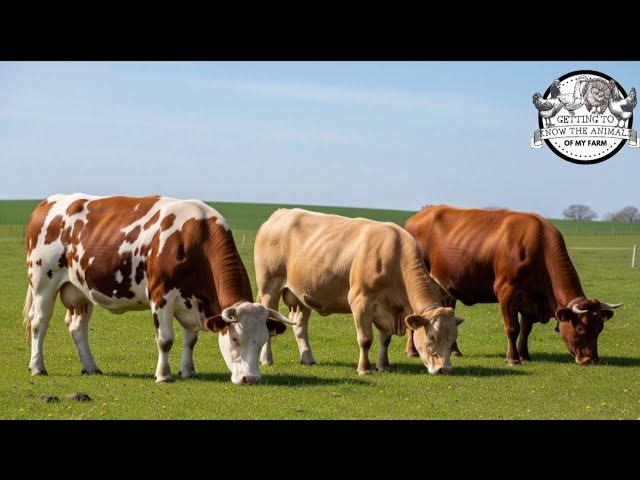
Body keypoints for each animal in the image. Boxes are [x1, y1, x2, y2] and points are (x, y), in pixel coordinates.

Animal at [23, 194, 294, 385]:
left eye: (264, 340)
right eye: (235, 338)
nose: (251, 379)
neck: (196, 240)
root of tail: (48, 202)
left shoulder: (192, 301)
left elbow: (190, 339)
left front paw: (188, 371)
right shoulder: (160, 295)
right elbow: (165, 340)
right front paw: (163, 375)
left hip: (80, 290)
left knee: (78, 327)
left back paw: (91, 367)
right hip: (43, 282)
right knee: (39, 322)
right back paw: (37, 367)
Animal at [254, 208, 464, 375]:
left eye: (453, 338)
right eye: (431, 337)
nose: (444, 369)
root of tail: (279, 213)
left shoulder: (387, 309)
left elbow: (385, 340)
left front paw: (383, 366)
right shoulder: (361, 301)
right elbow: (365, 339)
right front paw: (364, 369)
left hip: (302, 294)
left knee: (300, 326)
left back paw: (308, 358)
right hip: (269, 287)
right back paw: (267, 359)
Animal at [403, 205, 622, 365]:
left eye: (600, 328)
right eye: (581, 329)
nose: (590, 359)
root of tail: (422, 212)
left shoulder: (531, 299)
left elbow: (526, 329)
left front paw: (525, 355)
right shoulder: (506, 292)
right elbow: (513, 328)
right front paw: (513, 358)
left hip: (447, 289)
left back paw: (454, 351)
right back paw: (412, 351)